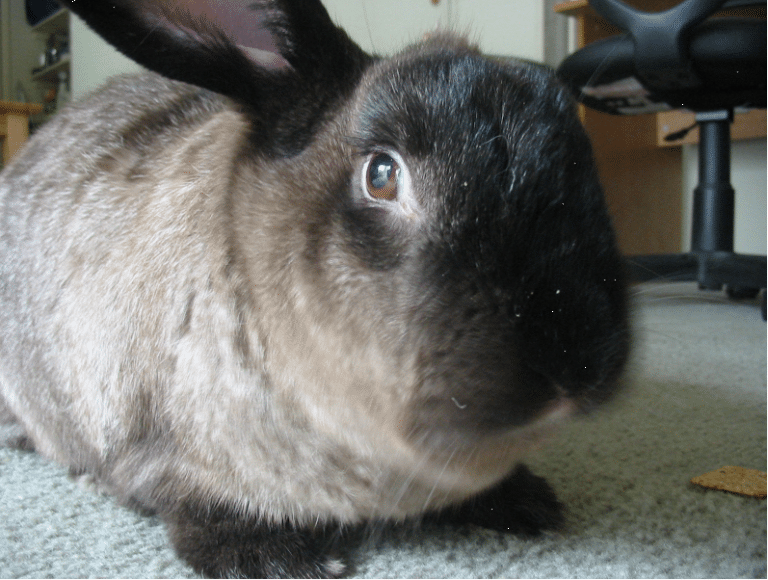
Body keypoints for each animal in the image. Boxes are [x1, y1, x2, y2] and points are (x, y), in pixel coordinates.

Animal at [0, 0, 631, 577]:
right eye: (382, 175)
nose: (574, 368)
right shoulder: (157, 457)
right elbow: (194, 509)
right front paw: (279, 562)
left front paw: (529, 503)